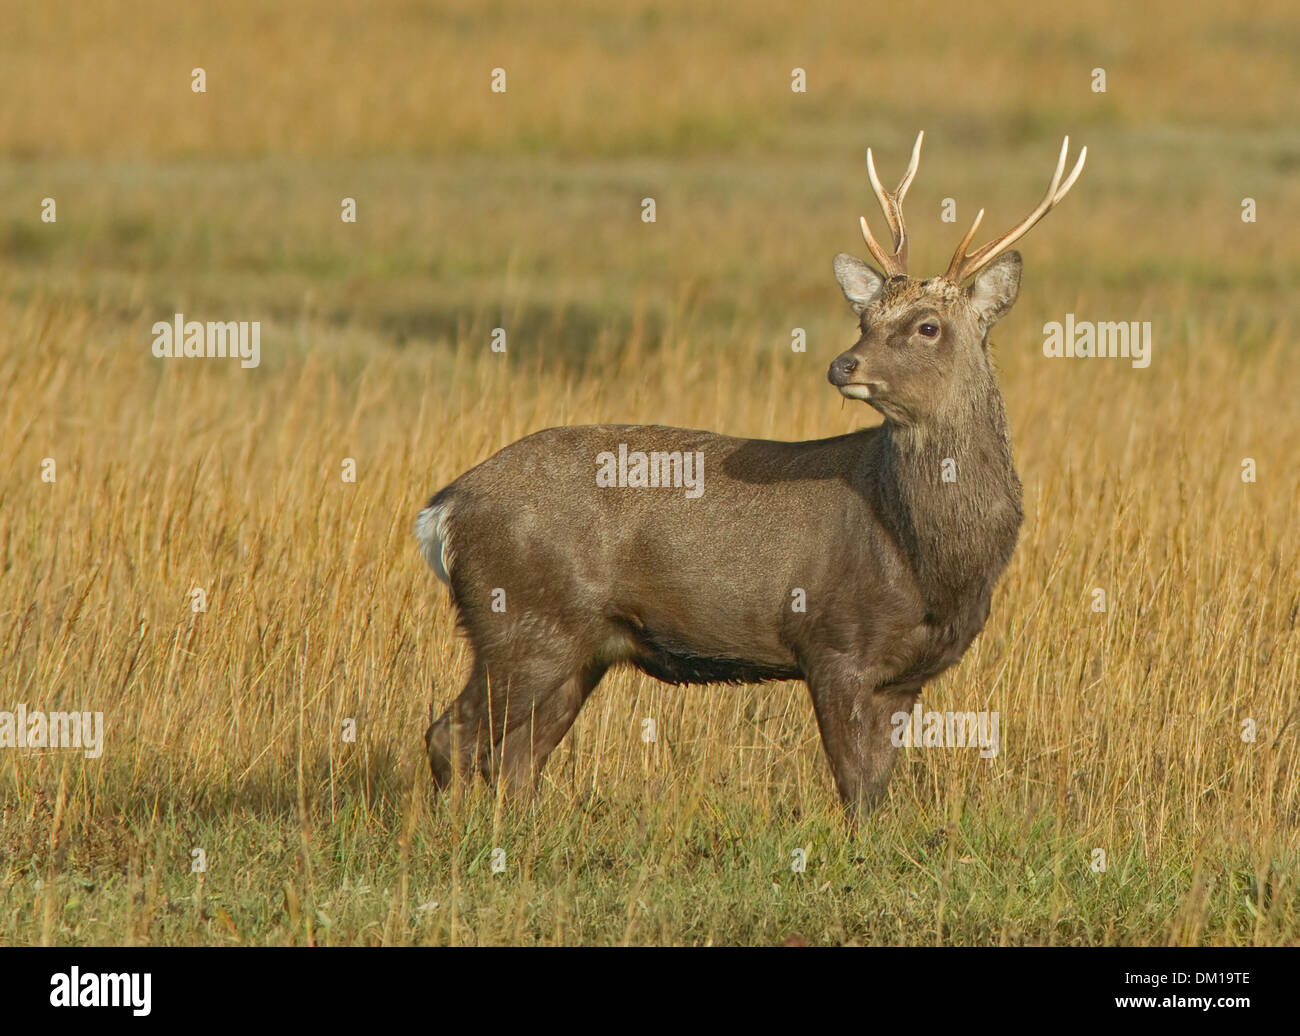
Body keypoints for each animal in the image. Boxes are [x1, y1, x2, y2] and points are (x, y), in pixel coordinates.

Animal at [415, 133, 1085, 817]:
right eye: (865, 319)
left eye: (928, 326)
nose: (844, 365)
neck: (925, 558)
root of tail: (444, 509)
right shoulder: (832, 641)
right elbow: (855, 790)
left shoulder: (907, 674)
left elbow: (876, 788)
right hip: (521, 619)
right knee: (452, 734)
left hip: (582, 646)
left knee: (516, 760)